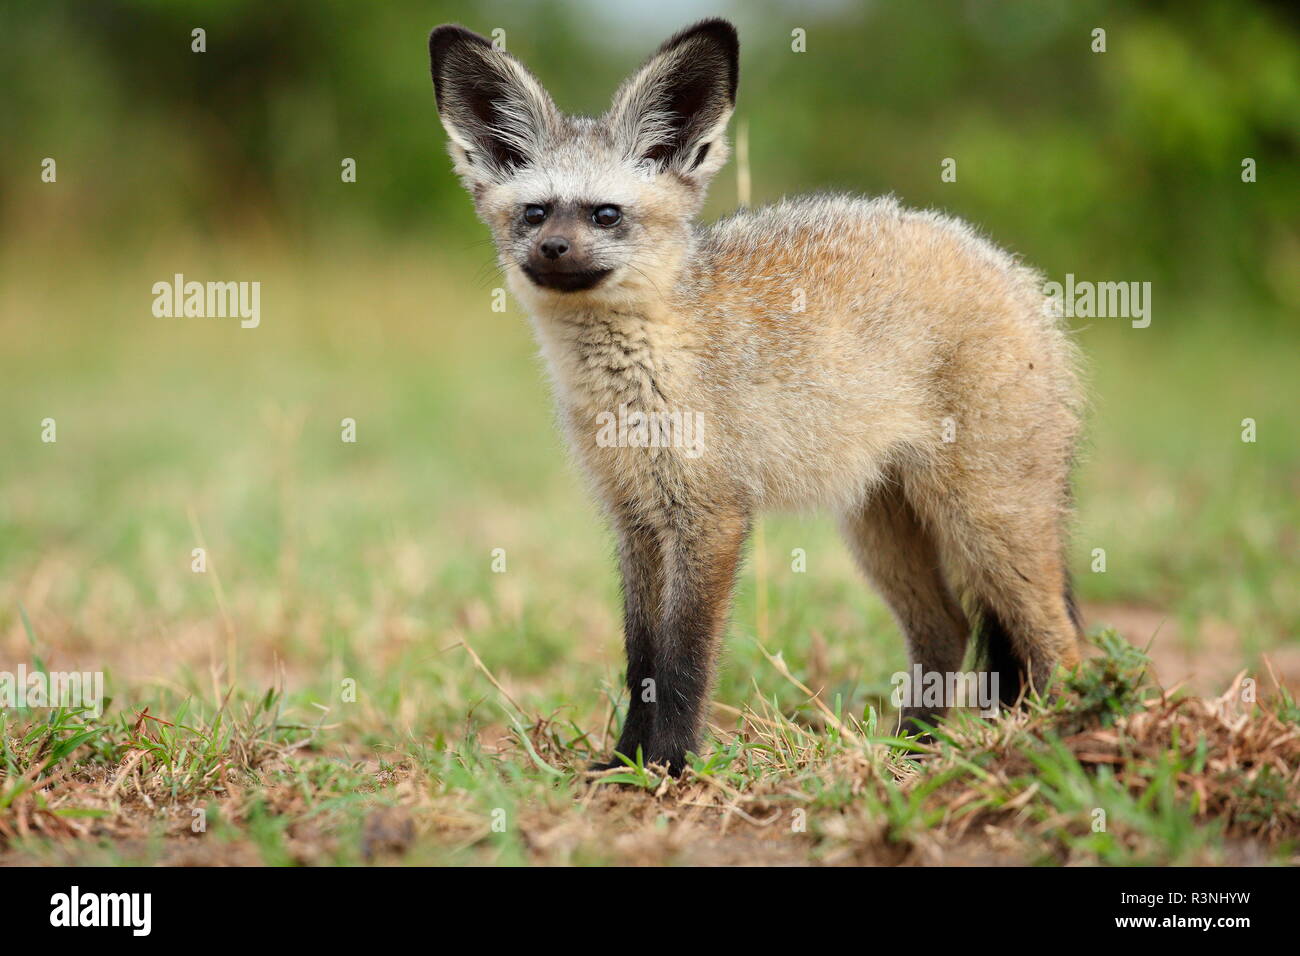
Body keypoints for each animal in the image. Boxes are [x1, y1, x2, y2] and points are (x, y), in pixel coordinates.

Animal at [428, 18, 1085, 773]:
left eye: (606, 214)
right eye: (535, 213)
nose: (554, 250)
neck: (634, 386)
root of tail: (1017, 275)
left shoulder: (711, 516)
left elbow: (684, 661)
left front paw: (670, 767)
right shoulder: (634, 519)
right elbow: (641, 657)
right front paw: (624, 763)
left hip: (988, 522)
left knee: (1061, 645)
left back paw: (1068, 739)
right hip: (881, 529)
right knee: (945, 629)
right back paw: (911, 754)